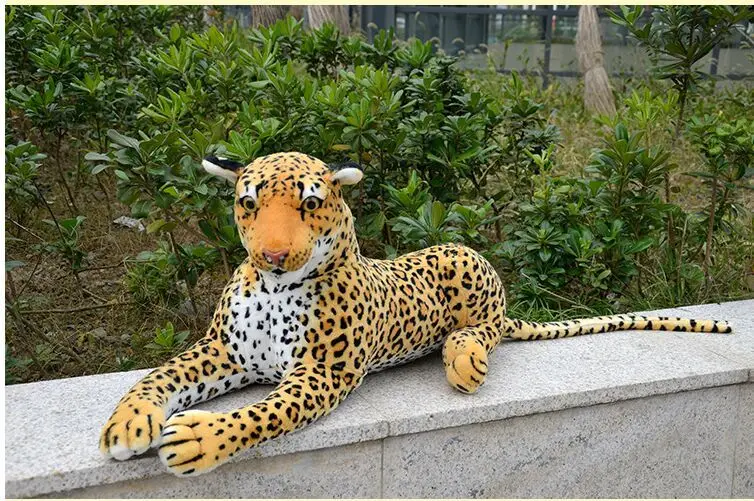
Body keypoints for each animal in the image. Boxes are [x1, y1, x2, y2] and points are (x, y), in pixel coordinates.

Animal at [99, 151, 732, 477]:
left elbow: (264, 413)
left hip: (464, 265)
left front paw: (199, 436)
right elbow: (159, 375)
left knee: (488, 332)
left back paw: (464, 358)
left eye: (310, 202)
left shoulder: (320, 374)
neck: (277, 288)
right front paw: (128, 423)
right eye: (247, 203)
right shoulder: (224, 351)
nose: (272, 255)